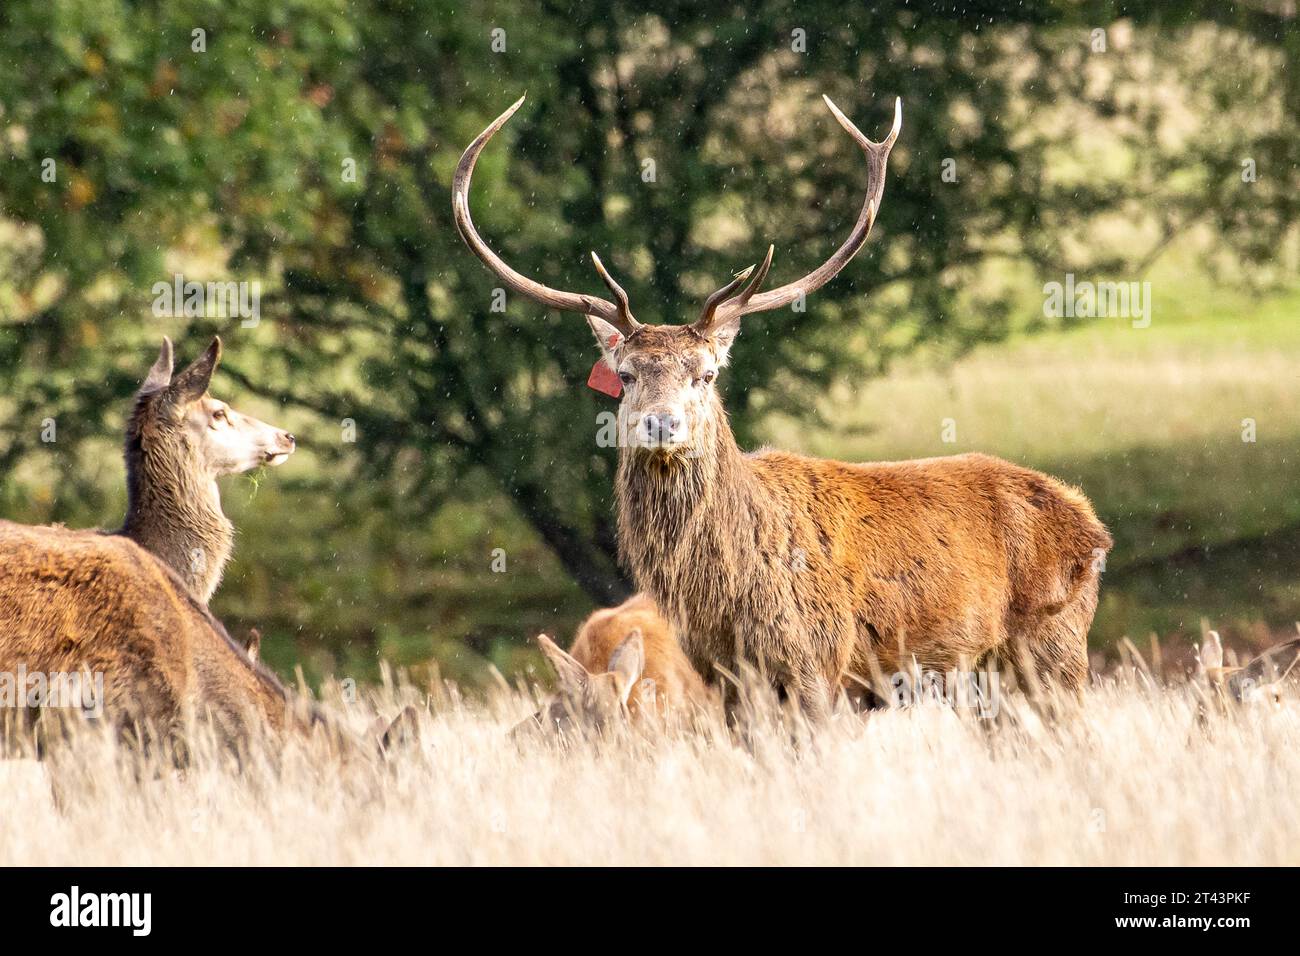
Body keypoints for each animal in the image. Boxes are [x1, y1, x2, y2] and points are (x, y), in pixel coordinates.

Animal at [454, 93, 1113, 721]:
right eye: (625, 374)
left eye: (707, 373)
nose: (662, 422)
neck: (725, 595)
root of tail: (1092, 524)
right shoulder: (722, 679)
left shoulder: (816, 661)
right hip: (987, 678)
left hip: (1053, 648)